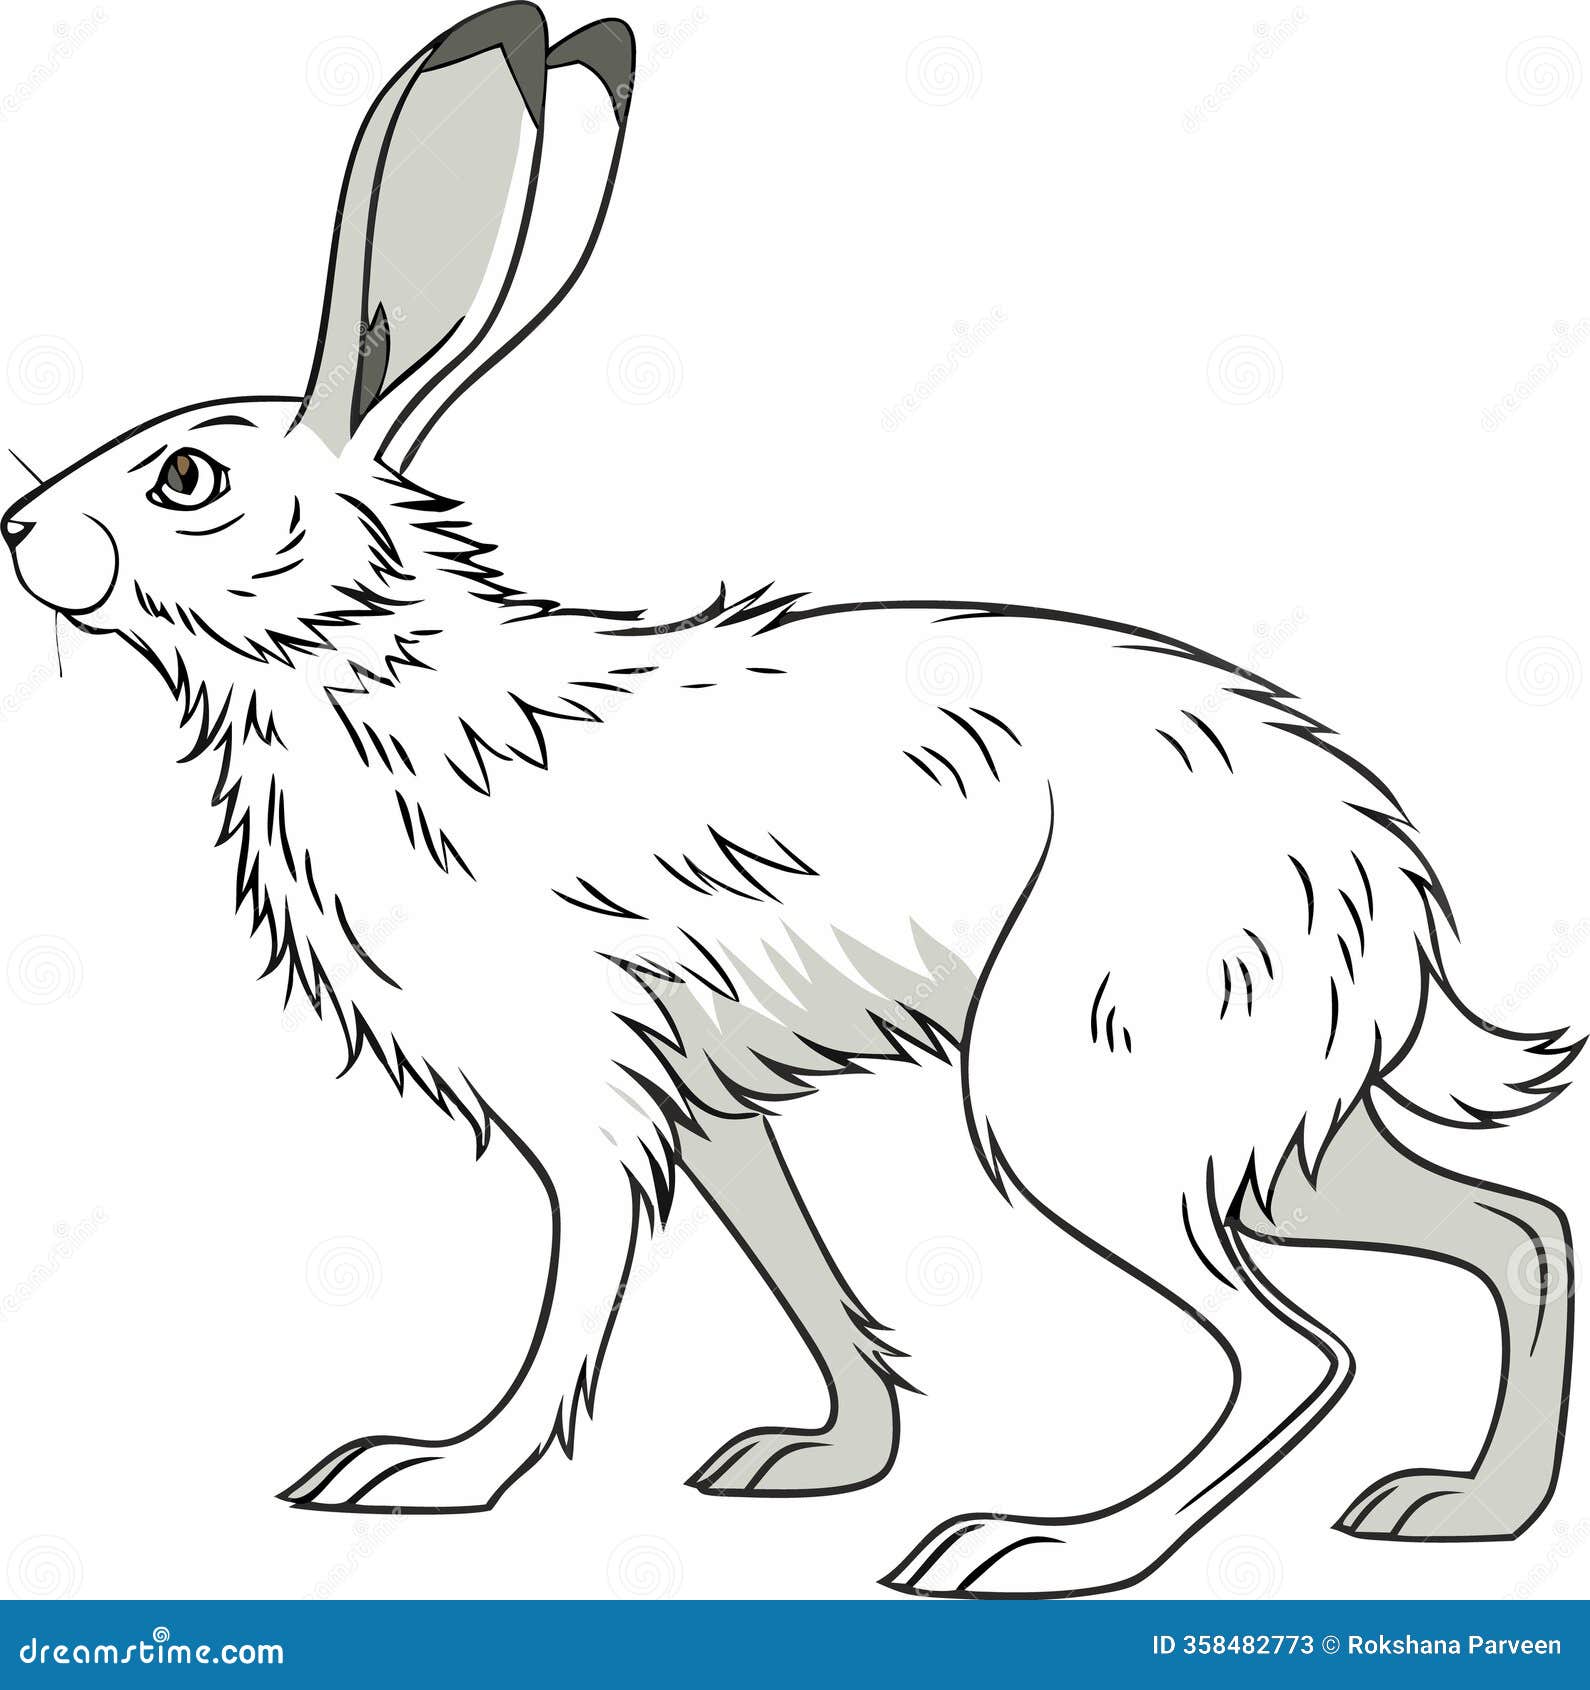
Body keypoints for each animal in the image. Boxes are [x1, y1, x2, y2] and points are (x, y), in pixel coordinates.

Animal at [2, 3, 1577, 1599]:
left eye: (185, 478)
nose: (17, 530)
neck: (364, 667)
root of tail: (1383, 876)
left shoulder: (585, 1097)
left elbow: (578, 1297)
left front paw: (437, 1474)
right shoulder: (699, 1102)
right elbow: (800, 1266)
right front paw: (823, 1461)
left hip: (1080, 1080)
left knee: (1300, 1350)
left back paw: (1046, 1547)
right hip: (1241, 1105)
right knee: (1515, 1228)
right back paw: (1467, 1509)